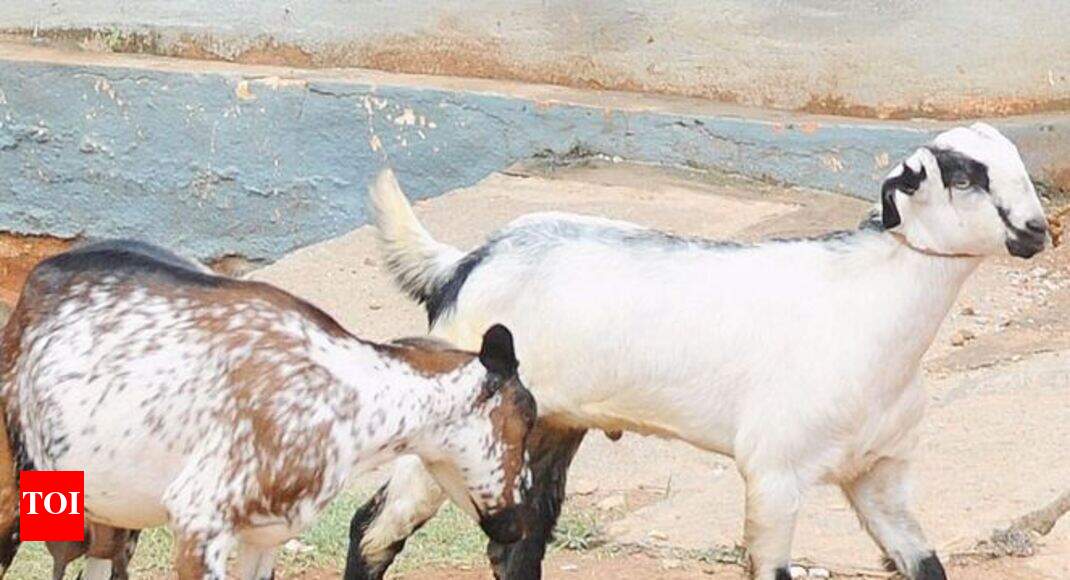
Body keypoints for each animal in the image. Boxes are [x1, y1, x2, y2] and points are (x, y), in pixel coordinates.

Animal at [0, 239, 537, 579]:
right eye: (527, 417)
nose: (517, 522)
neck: (354, 392)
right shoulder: (199, 522)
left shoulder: (266, 536)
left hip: (112, 522)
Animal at [347, 123, 1048, 580]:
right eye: (964, 174)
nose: (1037, 230)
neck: (869, 300)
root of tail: (465, 262)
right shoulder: (774, 475)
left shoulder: (882, 474)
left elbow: (927, 565)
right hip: (451, 437)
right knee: (373, 527)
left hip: (546, 425)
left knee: (516, 544)